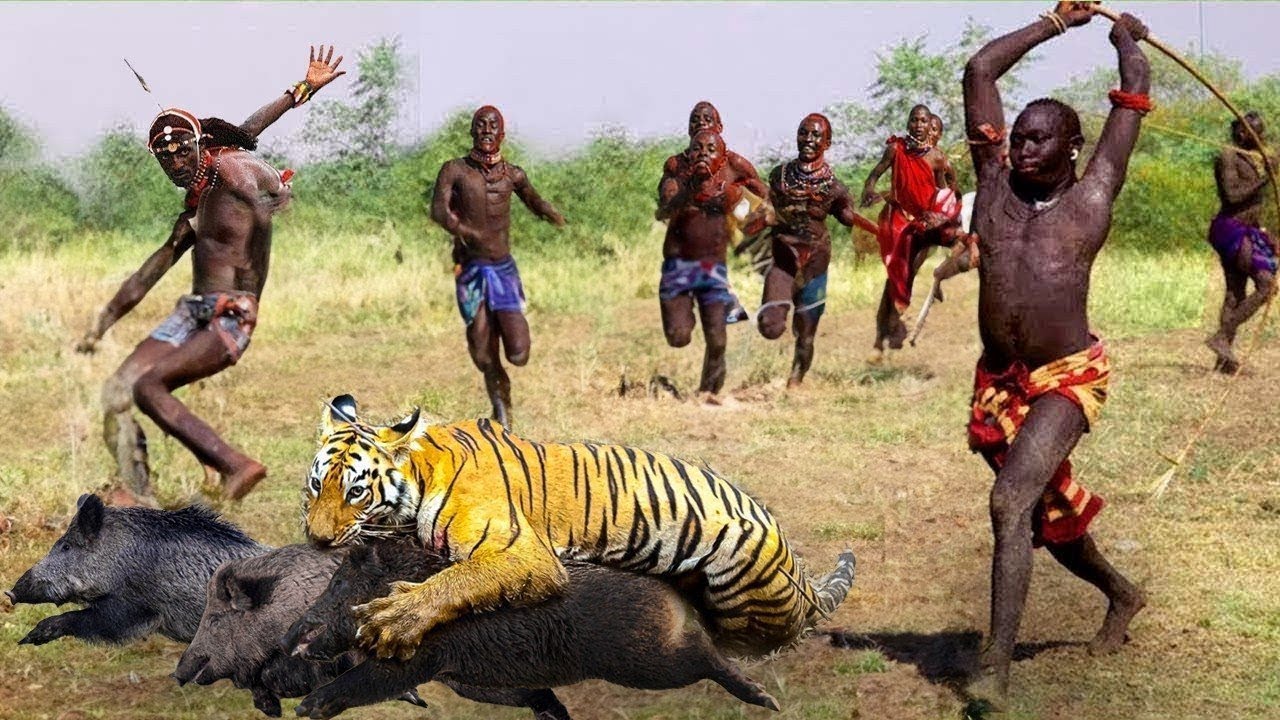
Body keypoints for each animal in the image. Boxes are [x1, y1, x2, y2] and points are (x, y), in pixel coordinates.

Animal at [304, 394, 856, 661]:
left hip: (738, 557)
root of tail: (798, 565)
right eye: (315, 486)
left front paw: (393, 619)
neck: (424, 470)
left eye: (356, 492)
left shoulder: (521, 551)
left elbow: (457, 579)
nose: (316, 539)